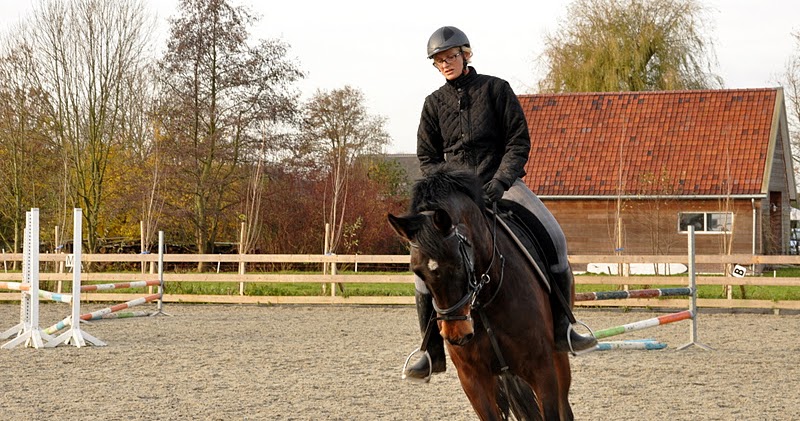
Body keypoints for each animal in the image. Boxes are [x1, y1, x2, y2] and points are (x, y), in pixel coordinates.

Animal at [388, 168, 573, 421]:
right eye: (417, 272)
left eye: (458, 264)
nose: (457, 335)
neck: (485, 301)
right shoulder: (473, 378)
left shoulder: (542, 369)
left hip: (557, 357)